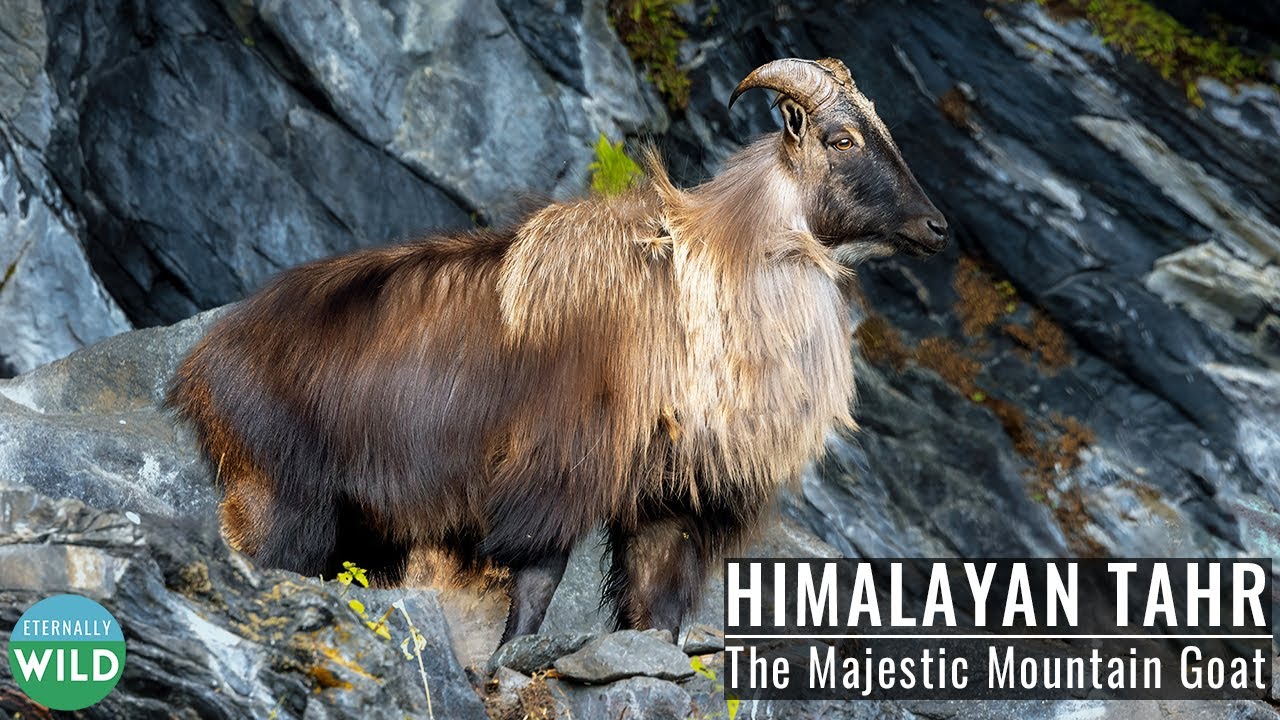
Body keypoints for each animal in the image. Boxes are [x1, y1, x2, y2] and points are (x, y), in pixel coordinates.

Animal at [168, 57, 947, 643]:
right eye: (841, 139)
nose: (936, 227)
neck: (701, 291)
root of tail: (203, 366)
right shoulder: (555, 477)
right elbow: (538, 585)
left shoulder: (668, 504)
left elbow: (654, 610)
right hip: (281, 499)